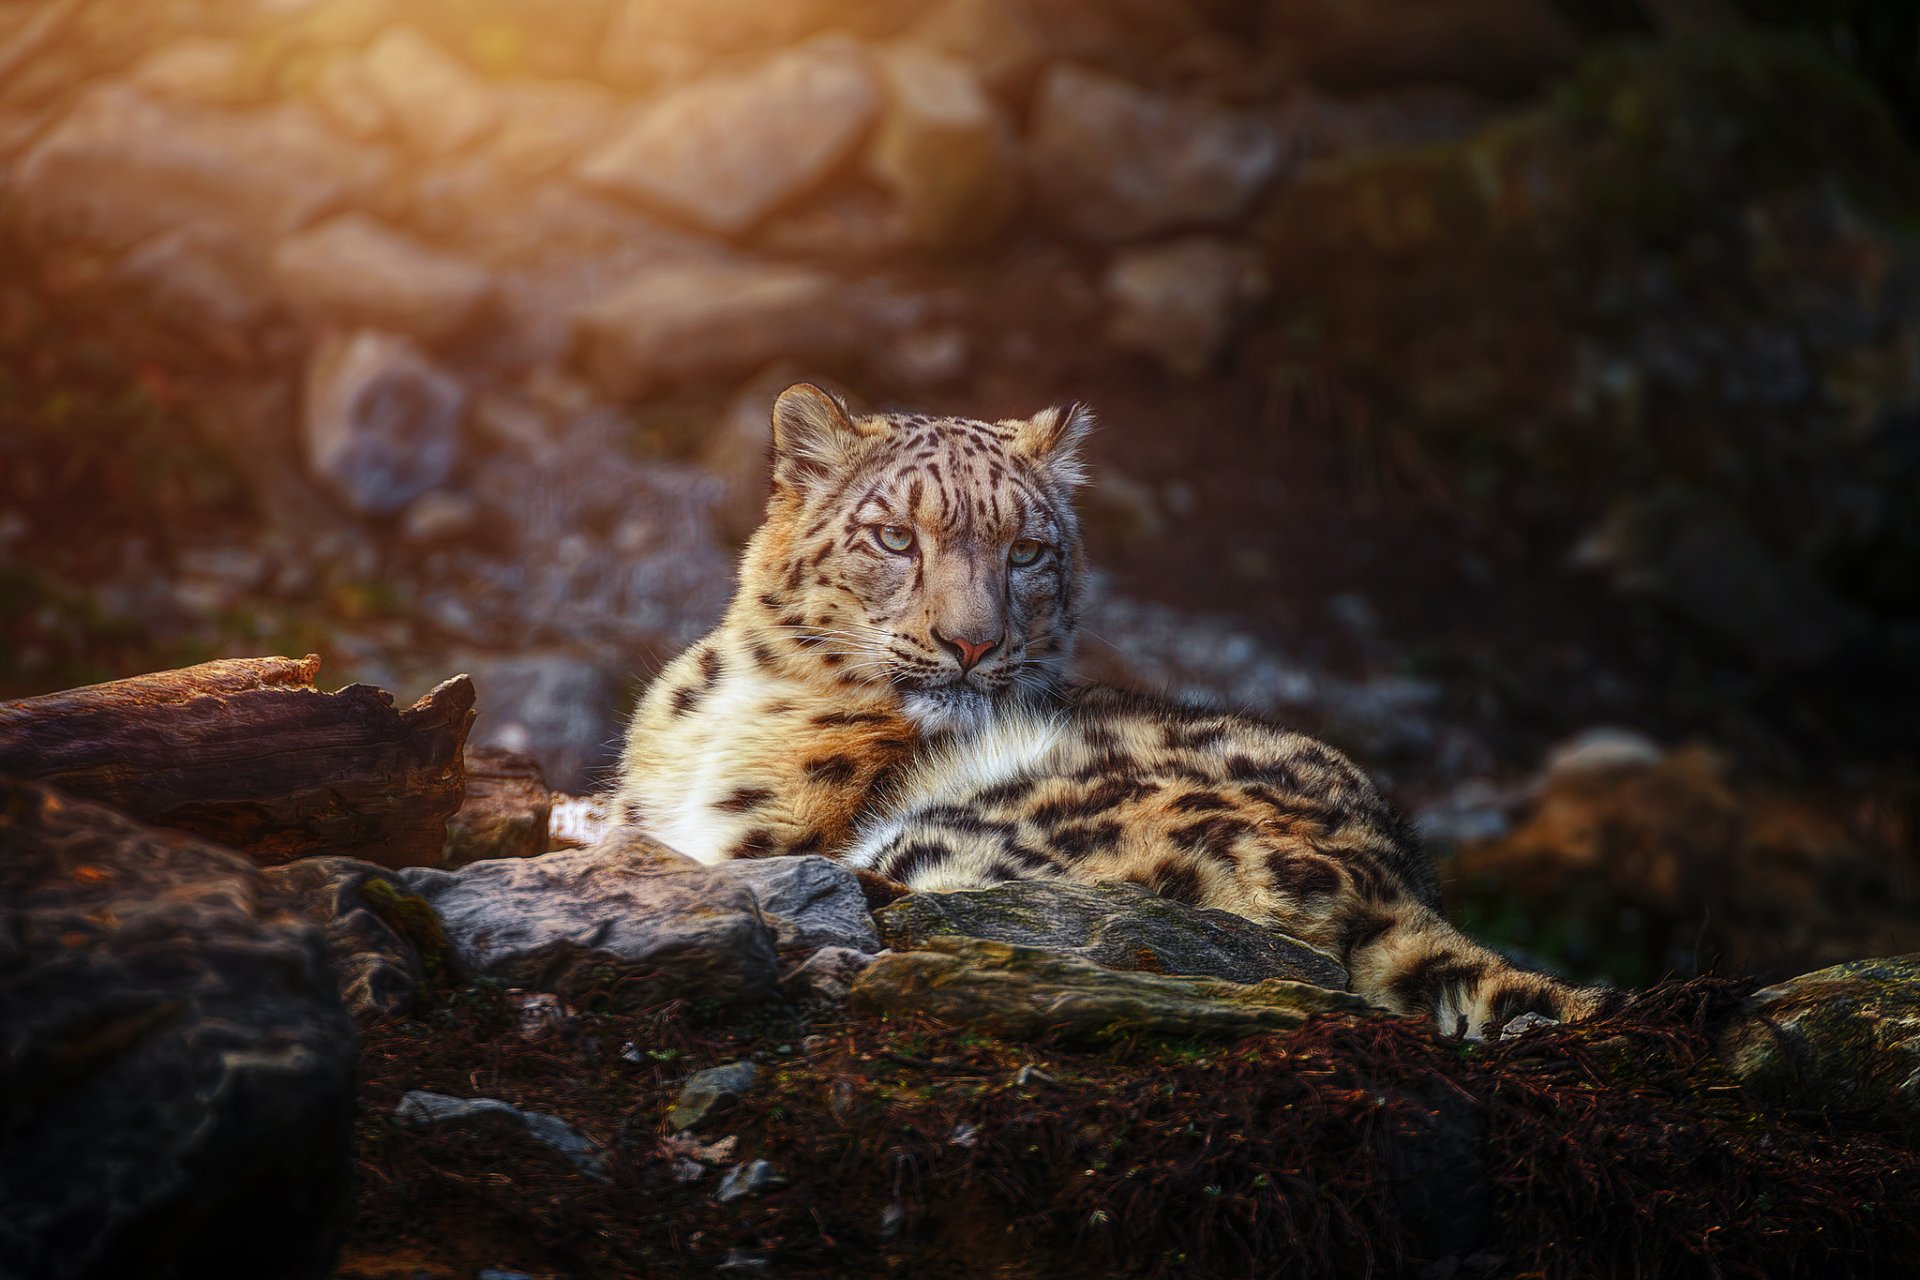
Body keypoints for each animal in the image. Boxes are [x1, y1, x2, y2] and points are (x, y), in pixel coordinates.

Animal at [615, 382, 1613, 1037]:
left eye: (1027, 550)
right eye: (894, 536)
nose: (971, 644)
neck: (732, 701)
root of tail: (1398, 889)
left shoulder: (770, 834)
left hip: (971, 835)